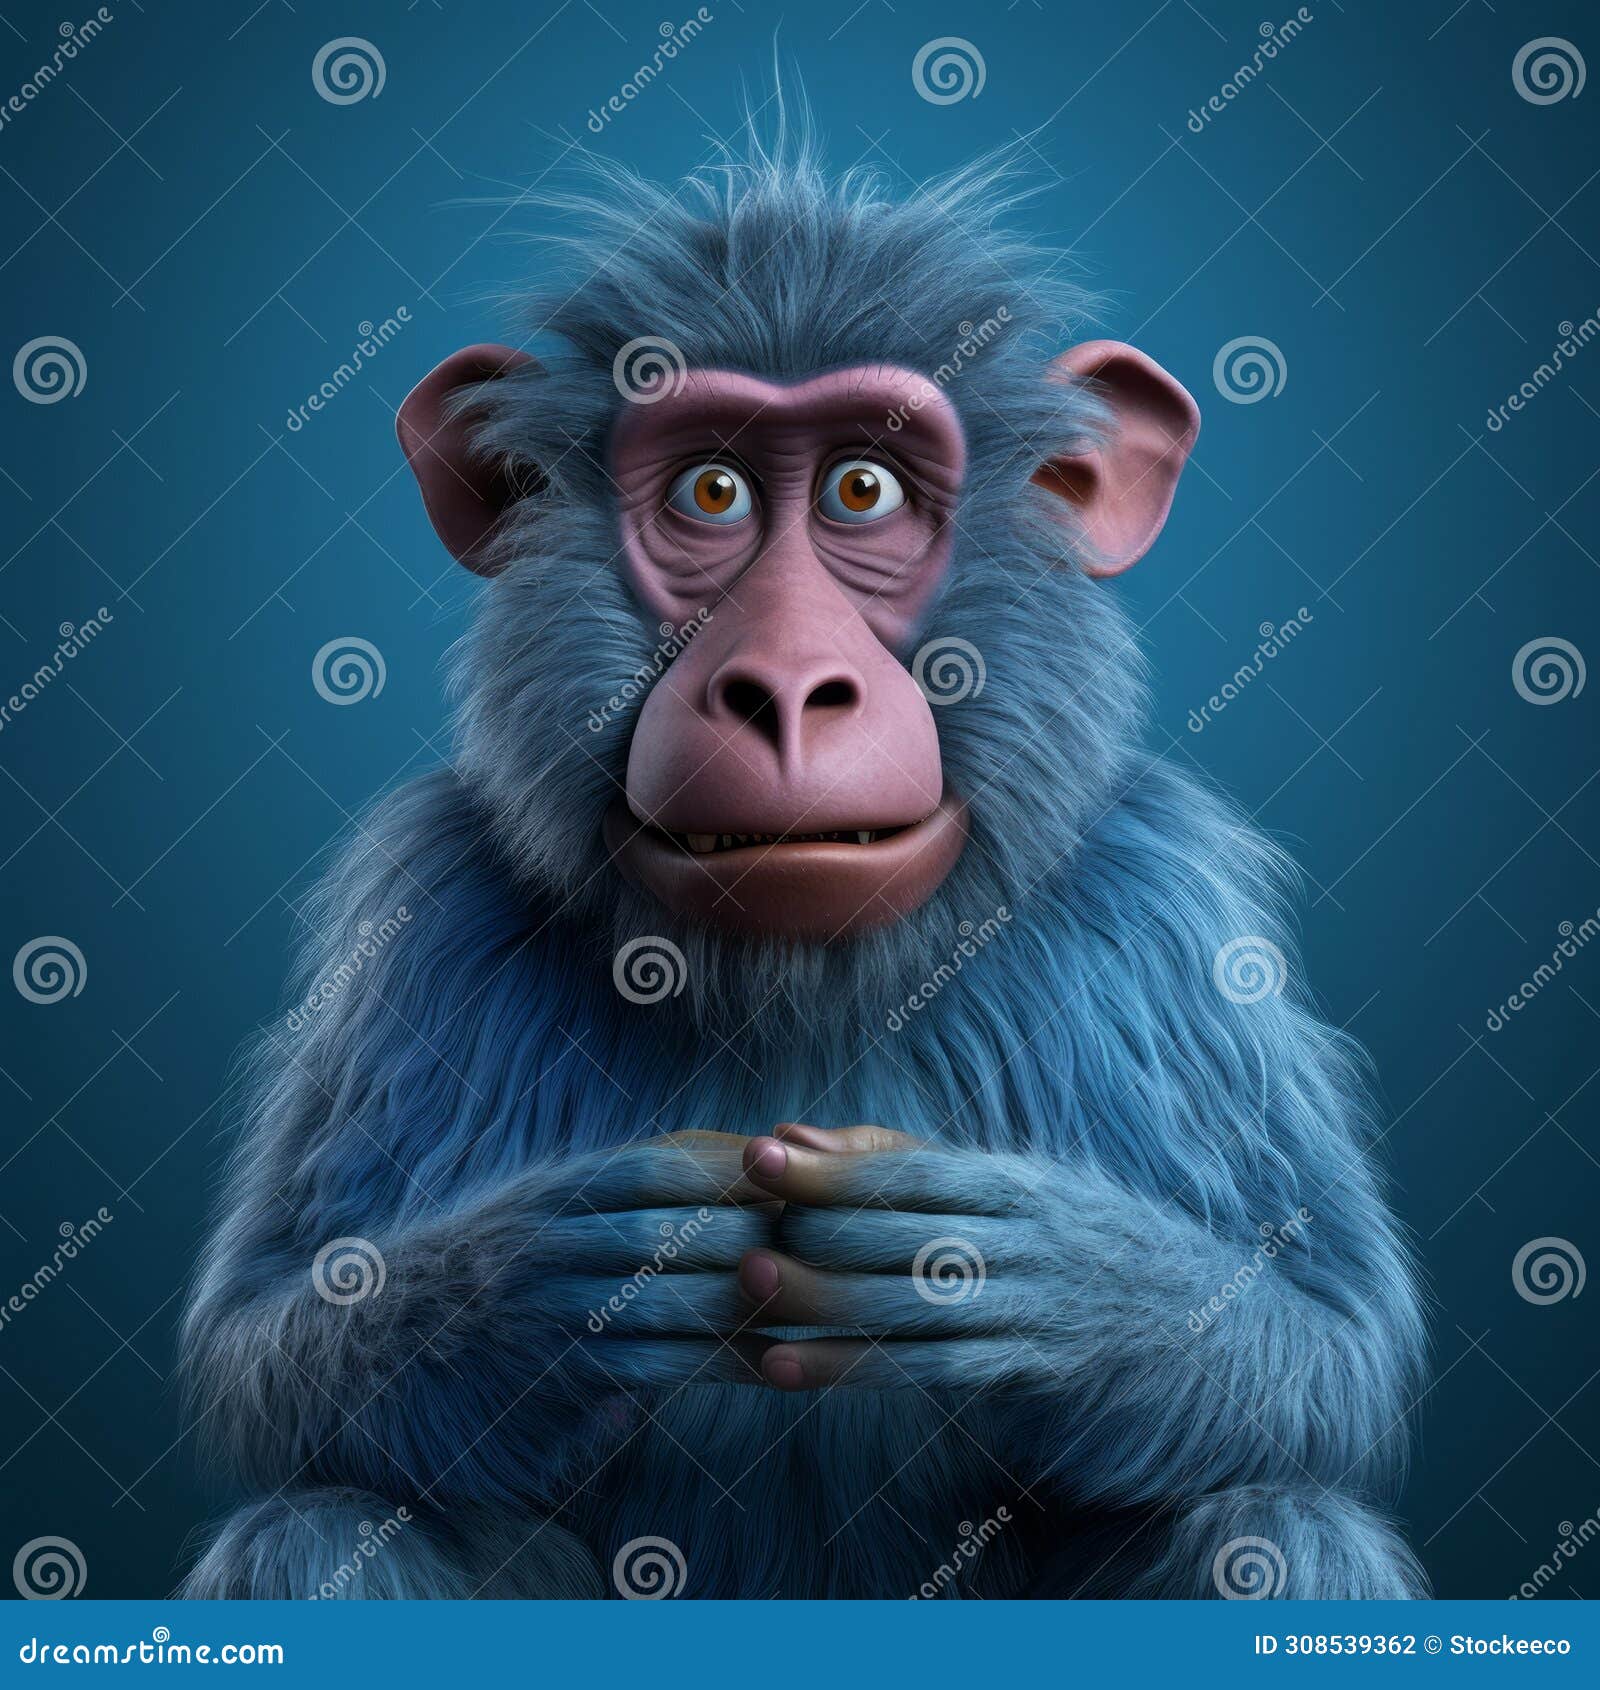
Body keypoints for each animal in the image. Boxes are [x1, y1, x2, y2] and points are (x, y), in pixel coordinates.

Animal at [179, 132, 1427, 1601]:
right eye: (709, 490)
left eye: (861, 489)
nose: (782, 684)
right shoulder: (422, 905)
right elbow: (267, 1346)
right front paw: (530, 1288)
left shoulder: (1167, 906)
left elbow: (1330, 1339)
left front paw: (1040, 1273)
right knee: (316, 1528)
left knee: (1274, 1525)